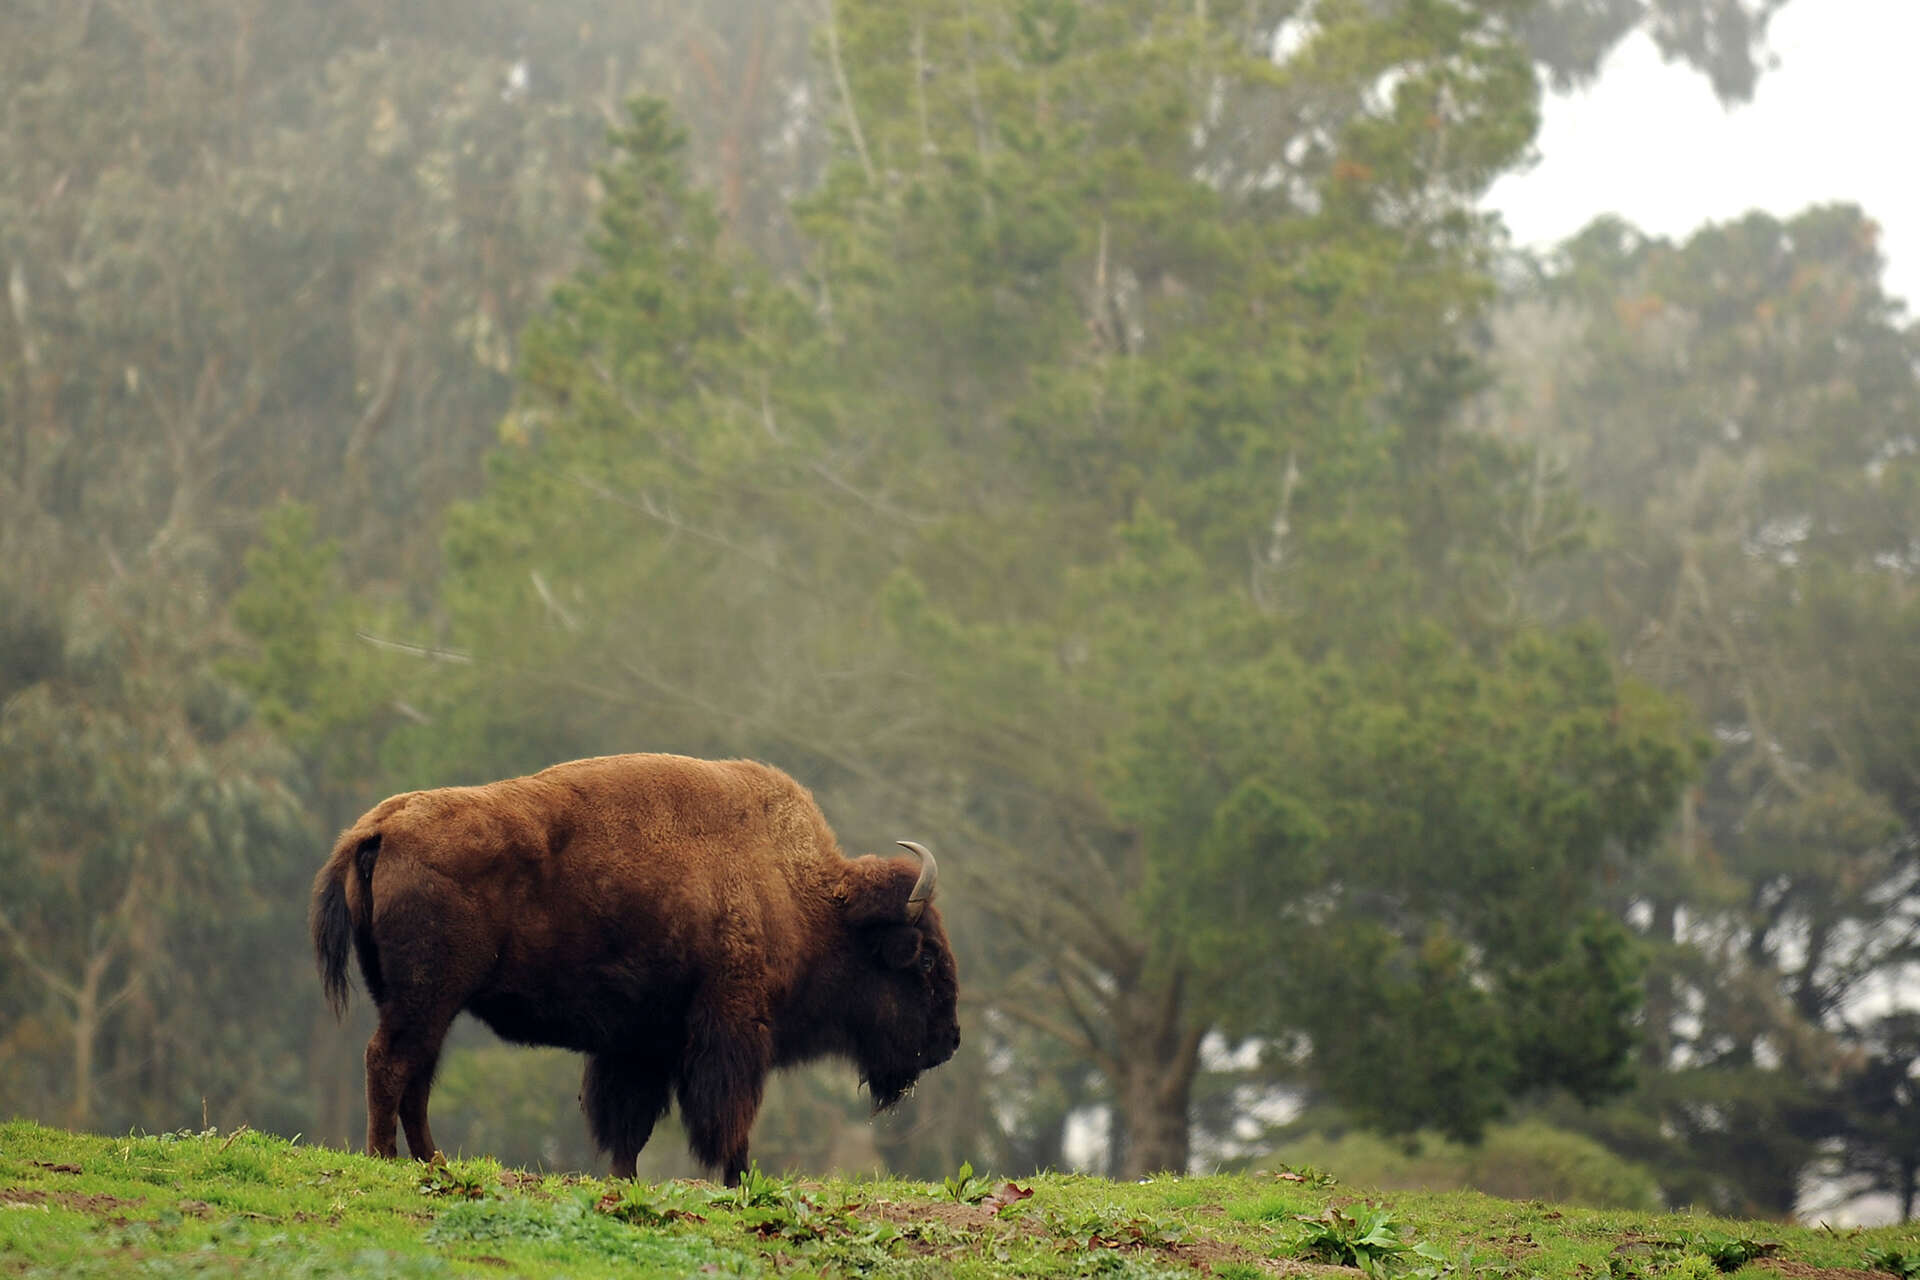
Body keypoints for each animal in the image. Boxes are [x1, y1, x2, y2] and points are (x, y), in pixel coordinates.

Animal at [309, 753, 960, 1184]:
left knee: (414, 1073)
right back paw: (384, 1159)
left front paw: (625, 1182)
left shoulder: (640, 1043)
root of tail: (381, 826)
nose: (949, 1041)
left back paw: (433, 1161)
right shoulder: (730, 1031)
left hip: (422, 1001)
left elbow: (629, 1123)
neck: (801, 895)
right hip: (428, 995)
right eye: (924, 957)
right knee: (389, 1062)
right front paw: (738, 1182)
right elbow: (728, 1119)